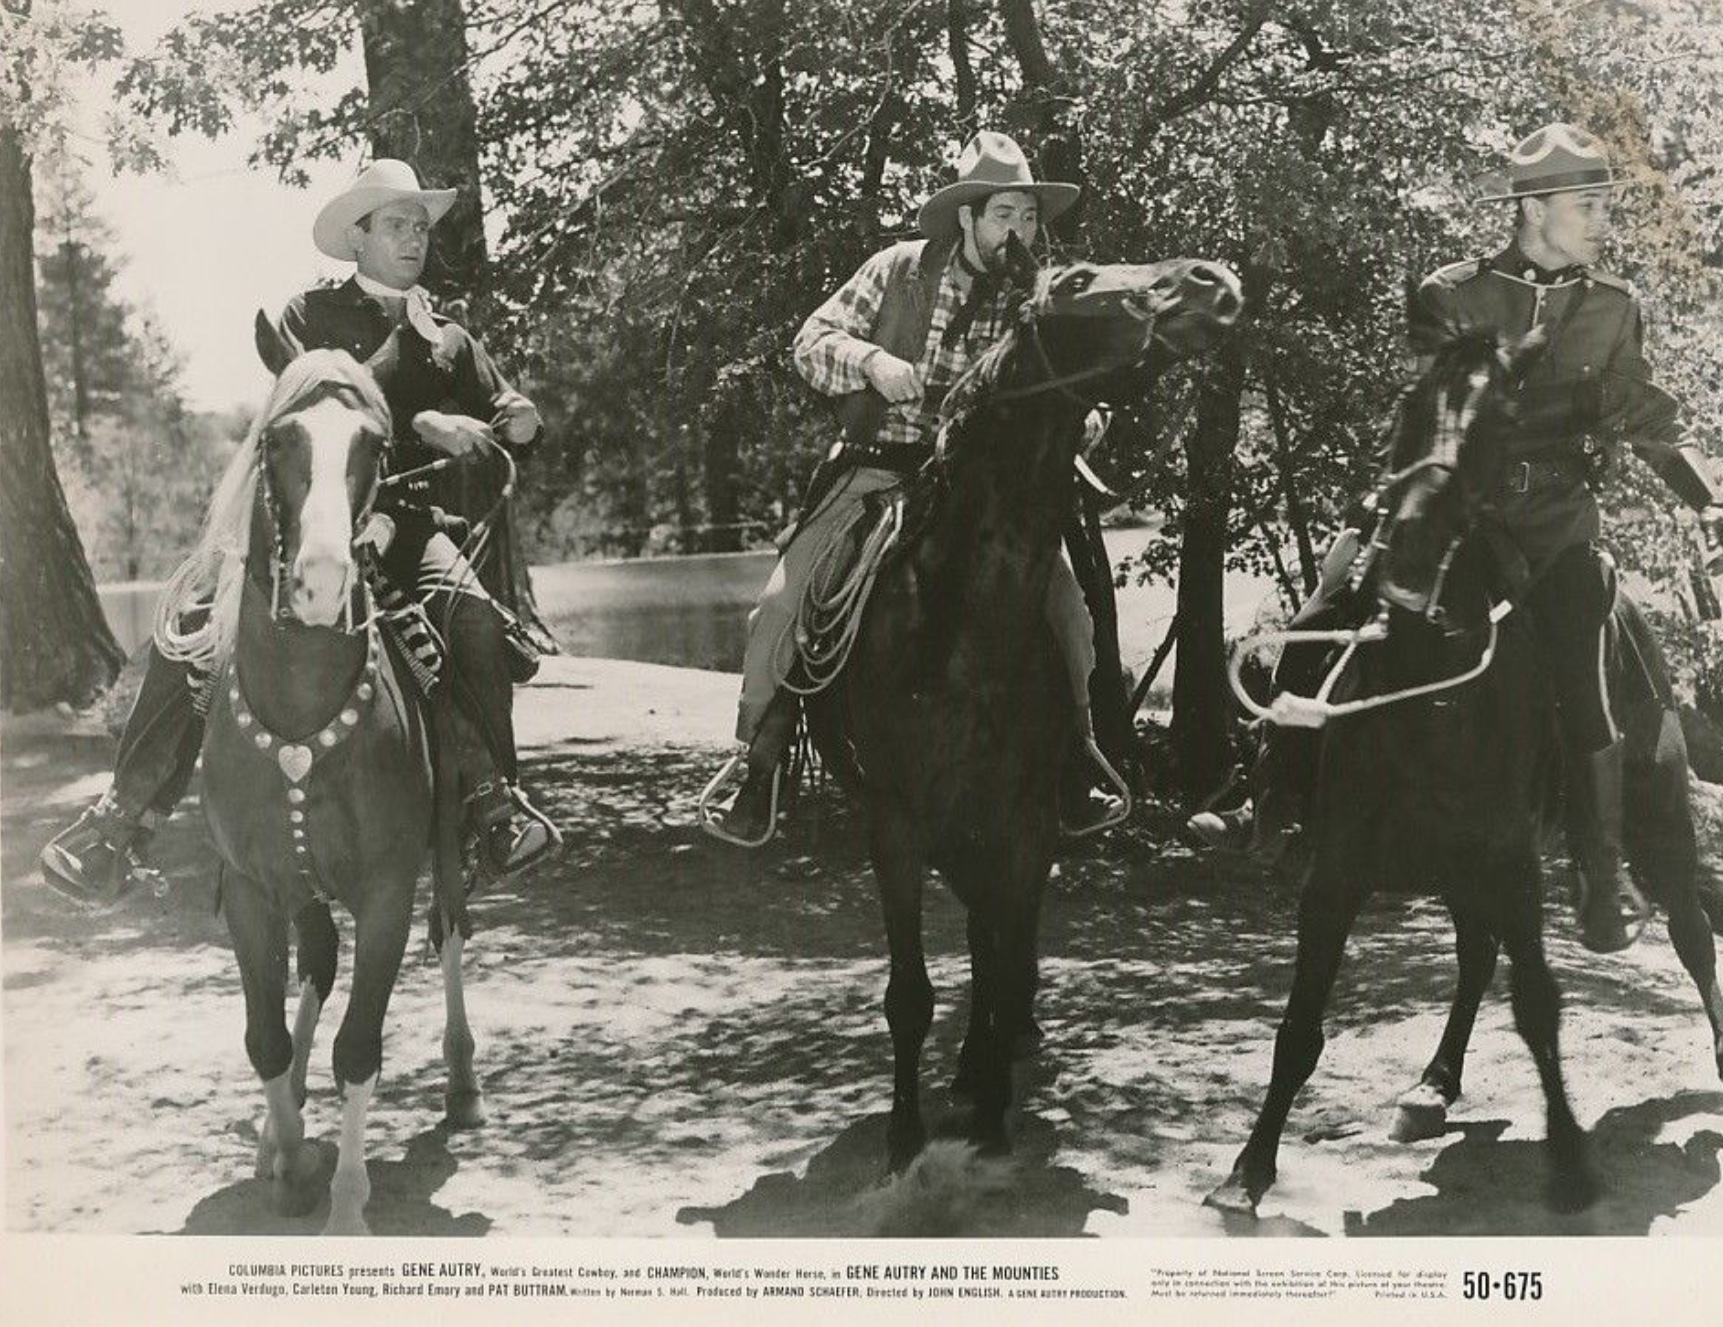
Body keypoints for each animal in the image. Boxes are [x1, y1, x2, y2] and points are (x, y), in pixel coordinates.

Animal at [199, 320, 489, 1227]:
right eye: (274, 439)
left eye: (378, 445)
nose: (324, 580)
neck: (300, 714)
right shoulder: (251, 889)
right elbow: (264, 1034)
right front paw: (289, 1158)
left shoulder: (387, 887)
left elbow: (358, 1044)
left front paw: (347, 1204)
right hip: (299, 882)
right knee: (318, 965)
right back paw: (275, 1131)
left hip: (442, 844)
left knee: (451, 930)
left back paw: (462, 1079)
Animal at [806, 244, 1240, 1158]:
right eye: (1074, 281)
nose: (1213, 279)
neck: (966, 626)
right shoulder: (897, 819)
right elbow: (910, 990)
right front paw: (905, 1133)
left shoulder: (1025, 816)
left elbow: (1003, 959)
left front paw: (992, 1108)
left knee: (993, 940)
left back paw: (985, 1064)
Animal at [1206, 327, 1605, 1213]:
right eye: (1408, 404)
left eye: (1502, 421)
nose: (1415, 544)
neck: (1430, 700)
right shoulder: (1333, 877)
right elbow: (1297, 1027)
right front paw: (1247, 1167)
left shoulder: (1511, 865)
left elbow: (1537, 1003)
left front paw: (1569, 1159)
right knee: (1472, 958)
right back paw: (1432, 1083)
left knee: (1483, 961)